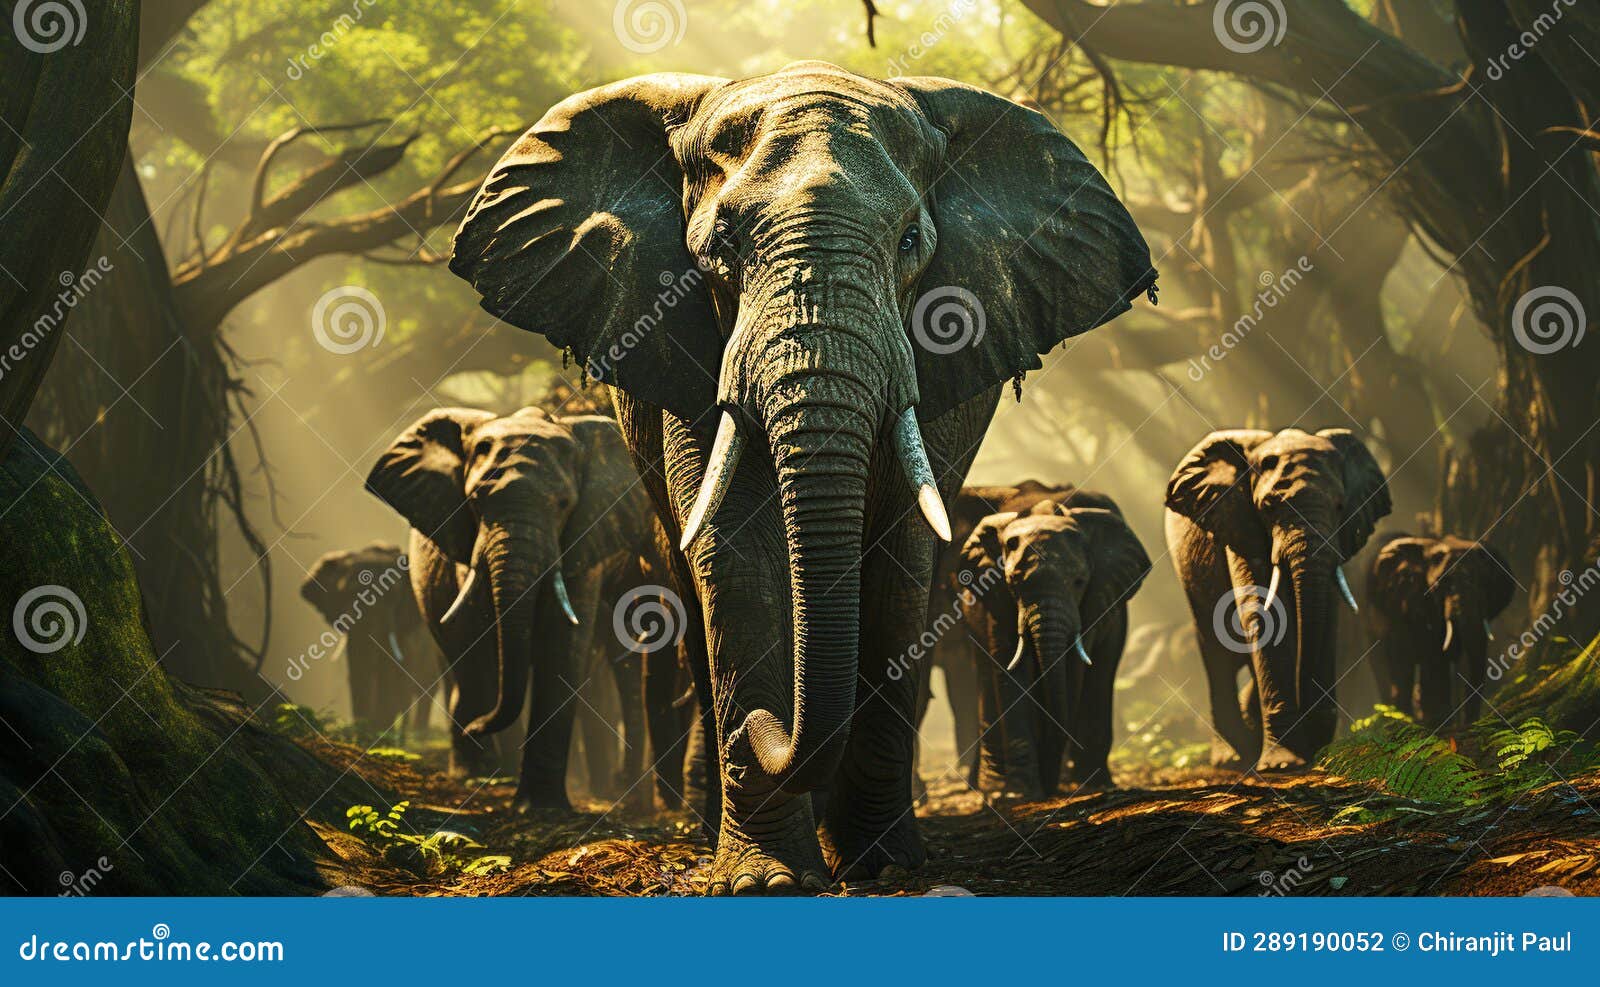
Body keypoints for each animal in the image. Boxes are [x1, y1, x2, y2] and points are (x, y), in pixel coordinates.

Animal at [299, 542, 443, 742]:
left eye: (392, 599)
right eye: (345, 595)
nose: (361, 732)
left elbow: (390, 675)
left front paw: (380, 735)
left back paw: (415, 737)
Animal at [365, 406, 664, 809]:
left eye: (563, 505)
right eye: (475, 502)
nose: (476, 727)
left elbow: (563, 641)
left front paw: (542, 807)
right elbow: (480, 638)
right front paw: (496, 775)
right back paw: (478, 769)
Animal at [957, 494, 1150, 797]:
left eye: (1079, 582)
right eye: (1014, 584)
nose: (1050, 788)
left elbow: (1076, 669)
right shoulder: (997, 601)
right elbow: (1011, 671)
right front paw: (1019, 795)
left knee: (1102, 672)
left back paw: (1096, 785)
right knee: (988, 677)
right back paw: (995, 790)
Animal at [1164, 428, 1391, 772]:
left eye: (1340, 506)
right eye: (1269, 508)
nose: (1317, 743)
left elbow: (1329, 613)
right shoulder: (1239, 524)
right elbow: (1263, 614)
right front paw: (1282, 765)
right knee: (1216, 652)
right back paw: (1232, 758)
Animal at [1365, 533, 1515, 728]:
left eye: (1482, 584)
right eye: (1441, 585)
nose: (1470, 723)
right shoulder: (1416, 601)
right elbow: (1434, 653)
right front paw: (1438, 722)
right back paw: (1400, 721)